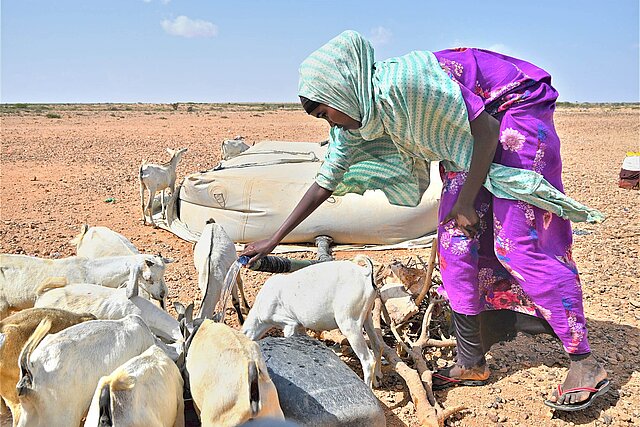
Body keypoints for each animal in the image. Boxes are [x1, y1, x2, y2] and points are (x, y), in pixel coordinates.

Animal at [240, 256, 380, 390]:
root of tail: (365, 274)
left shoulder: (289, 324)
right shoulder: (300, 327)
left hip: (349, 323)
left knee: (368, 360)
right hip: (367, 316)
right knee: (377, 347)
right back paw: (378, 380)